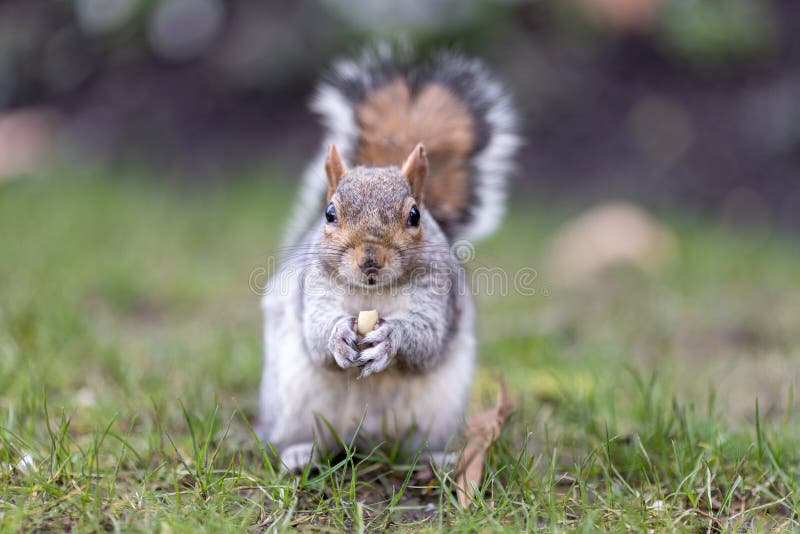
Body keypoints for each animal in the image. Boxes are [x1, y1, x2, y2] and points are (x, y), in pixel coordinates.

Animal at [257, 46, 520, 470]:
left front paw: (389, 338)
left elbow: (426, 339)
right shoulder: (314, 285)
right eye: (329, 214)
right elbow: (315, 333)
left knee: (418, 442)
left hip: (437, 413)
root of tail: (367, 439)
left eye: (414, 215)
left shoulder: (437, 288)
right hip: (292, 403)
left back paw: (436, 458)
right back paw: (300, 452)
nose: (370, 260)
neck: (372, 295)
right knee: (309, 436)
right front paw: (338, 334)